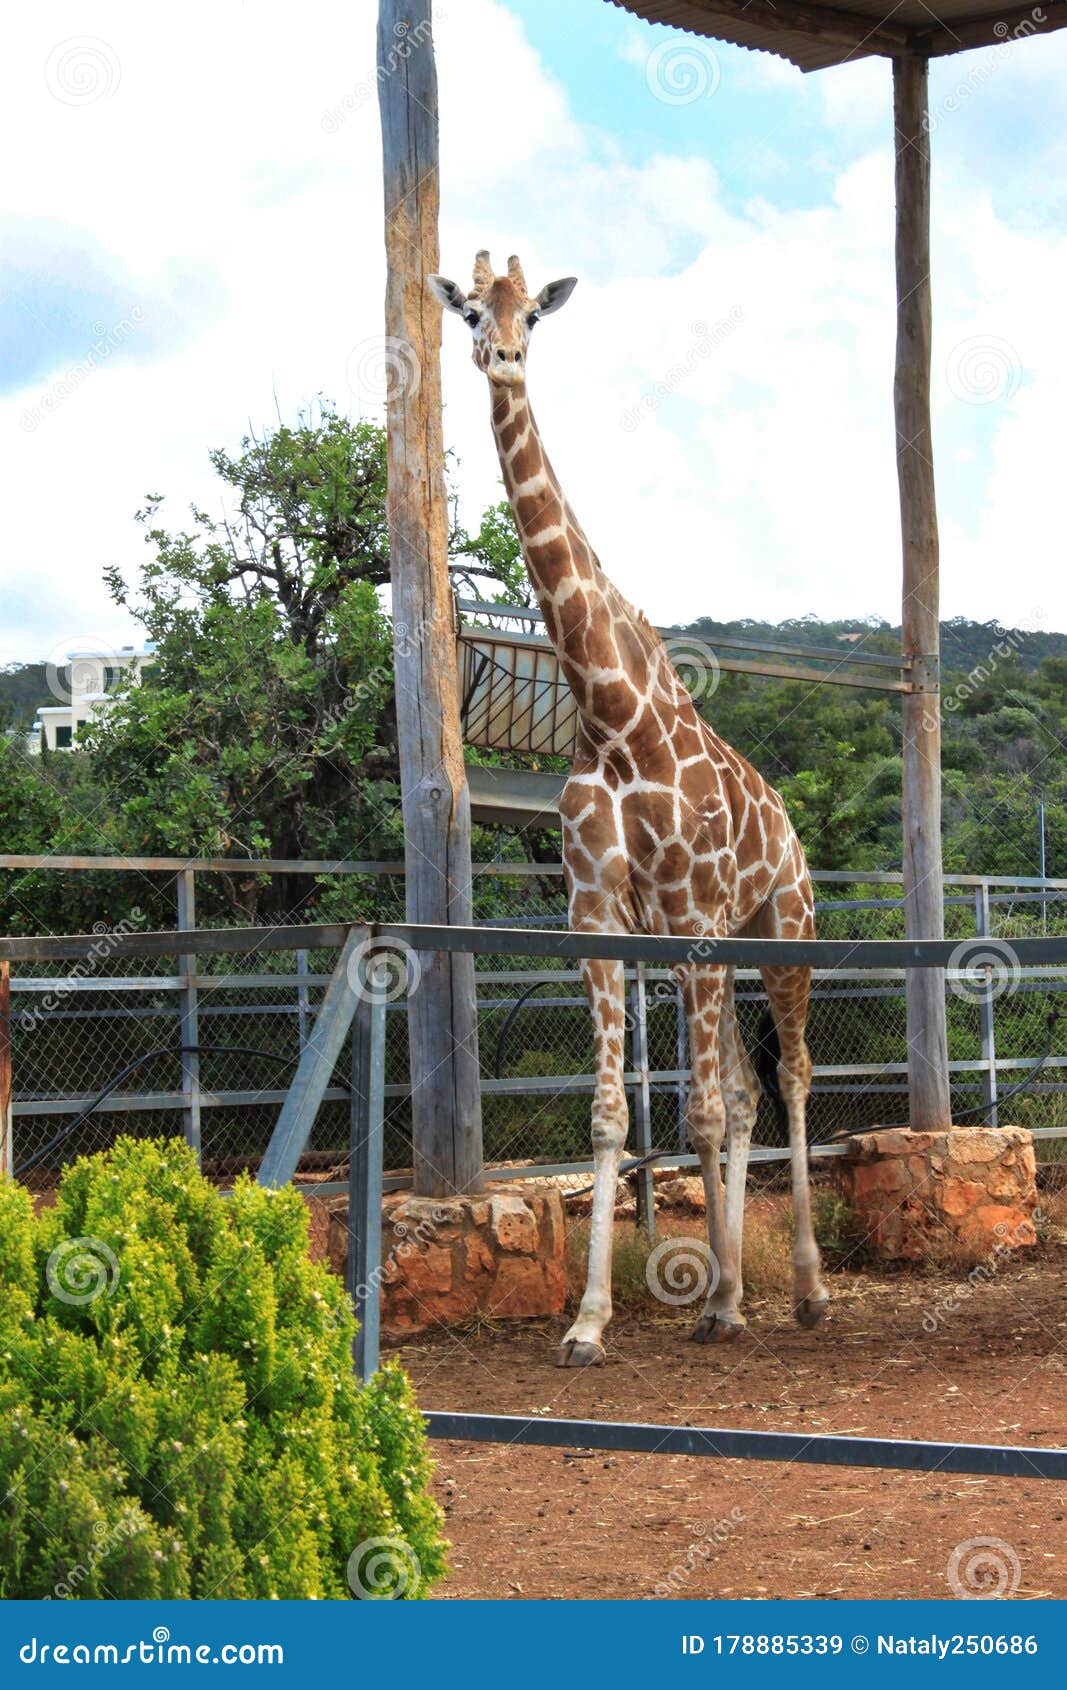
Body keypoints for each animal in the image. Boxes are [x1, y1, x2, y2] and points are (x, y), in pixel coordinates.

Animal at [430, 252, 827, 1366]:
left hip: (780, 928)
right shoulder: (600, 914)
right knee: (744, 1088)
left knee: (787, 1076)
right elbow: (615, 1114)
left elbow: (697, 1112)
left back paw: (804, 1289)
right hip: (726, 945)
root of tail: (788, 829)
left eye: (533, 316)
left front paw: (720, 1301)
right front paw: (588, 1320)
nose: (500, 357)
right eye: (468, 312)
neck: (609, 712)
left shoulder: (691, 914)